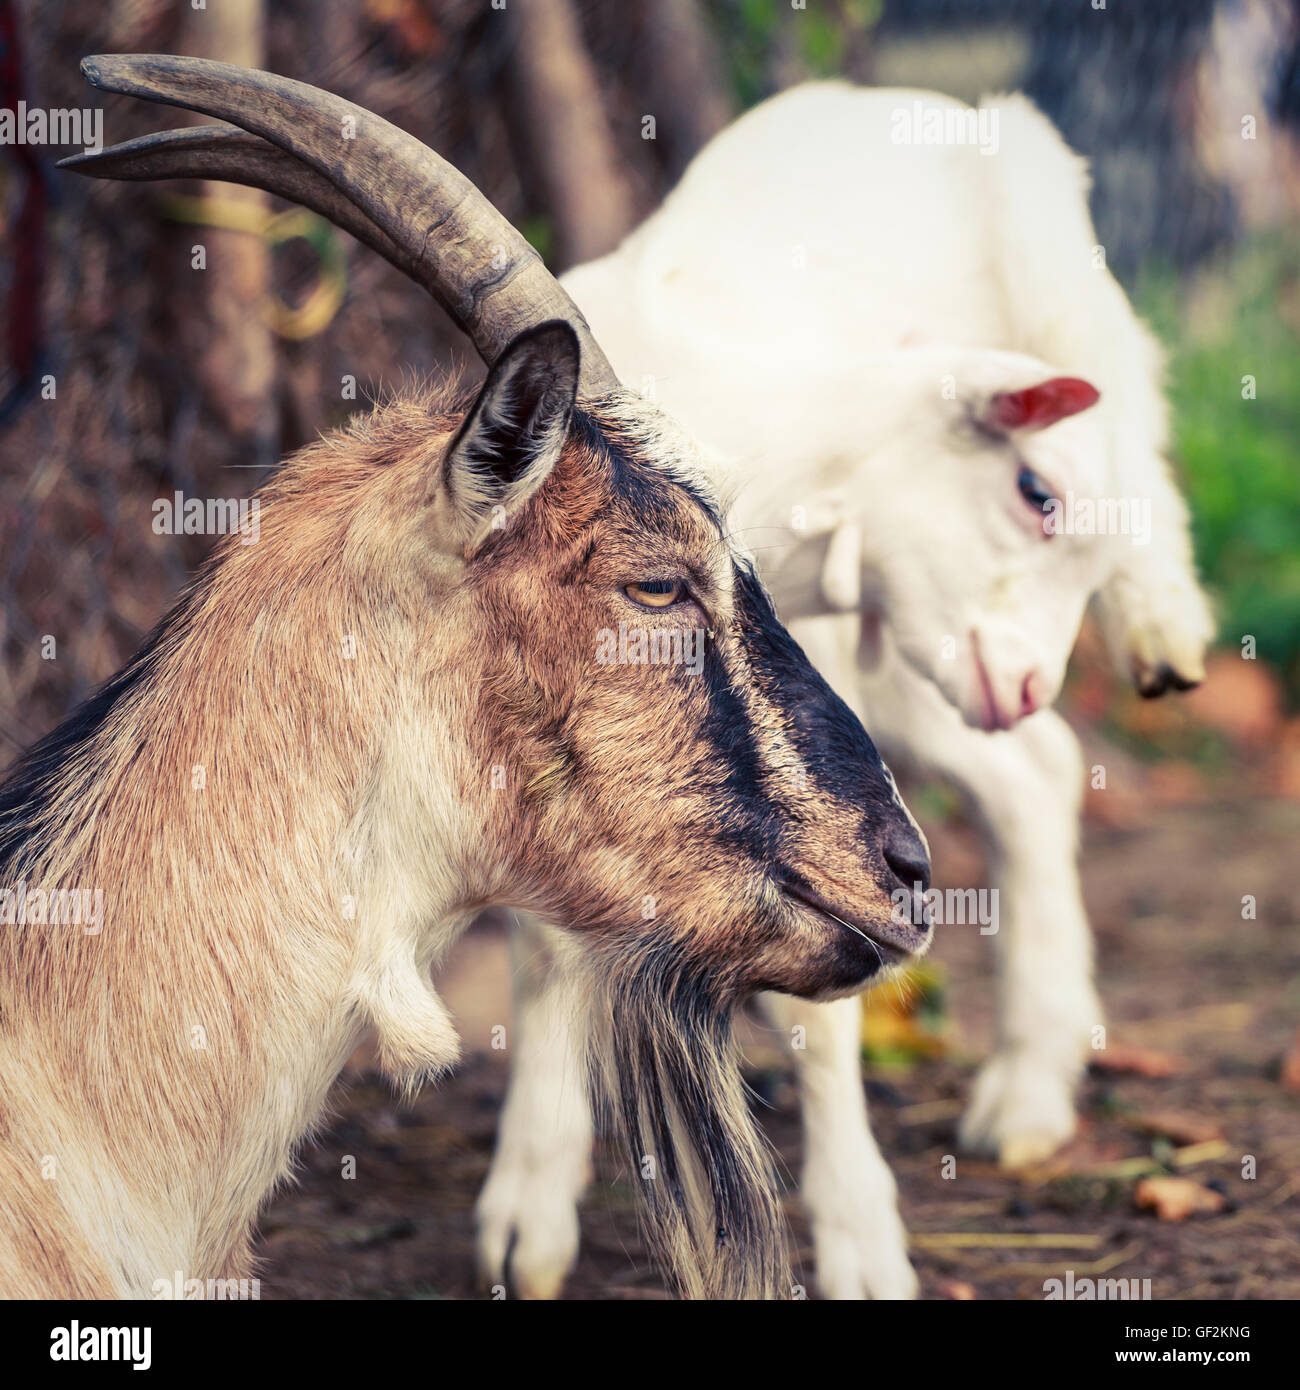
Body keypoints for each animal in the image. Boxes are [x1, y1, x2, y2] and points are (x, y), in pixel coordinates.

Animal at [474, 84, 1216, 1299]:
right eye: (1034, 493)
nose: (1027, 680)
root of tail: (905, 102)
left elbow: (821, 1000)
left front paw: (862, 1243)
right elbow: (544, 932)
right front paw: (525, 1212)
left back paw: (1163, 625)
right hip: (902, 665)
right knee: (1036, 771)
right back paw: (1032, 1081)